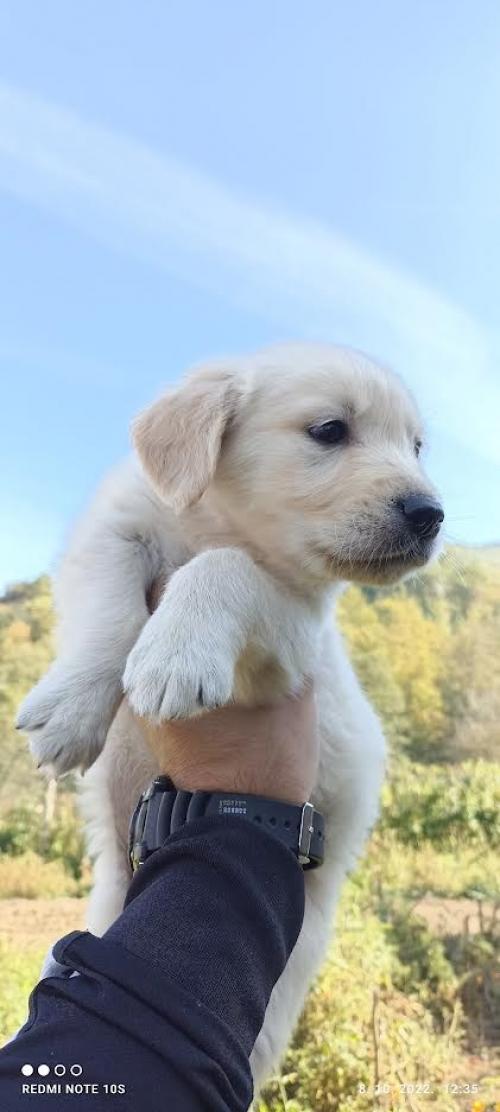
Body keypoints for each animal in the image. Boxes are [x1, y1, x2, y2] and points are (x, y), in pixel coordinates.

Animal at [17, 344, 444, 1094]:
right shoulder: (111, 531)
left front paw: (176, 653)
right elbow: (112, 611)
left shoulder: (293, 628)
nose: (432, 512)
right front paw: (69, 709)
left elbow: (227, 569)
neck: (216, 522)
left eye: (416, 446)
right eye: (330, 430)